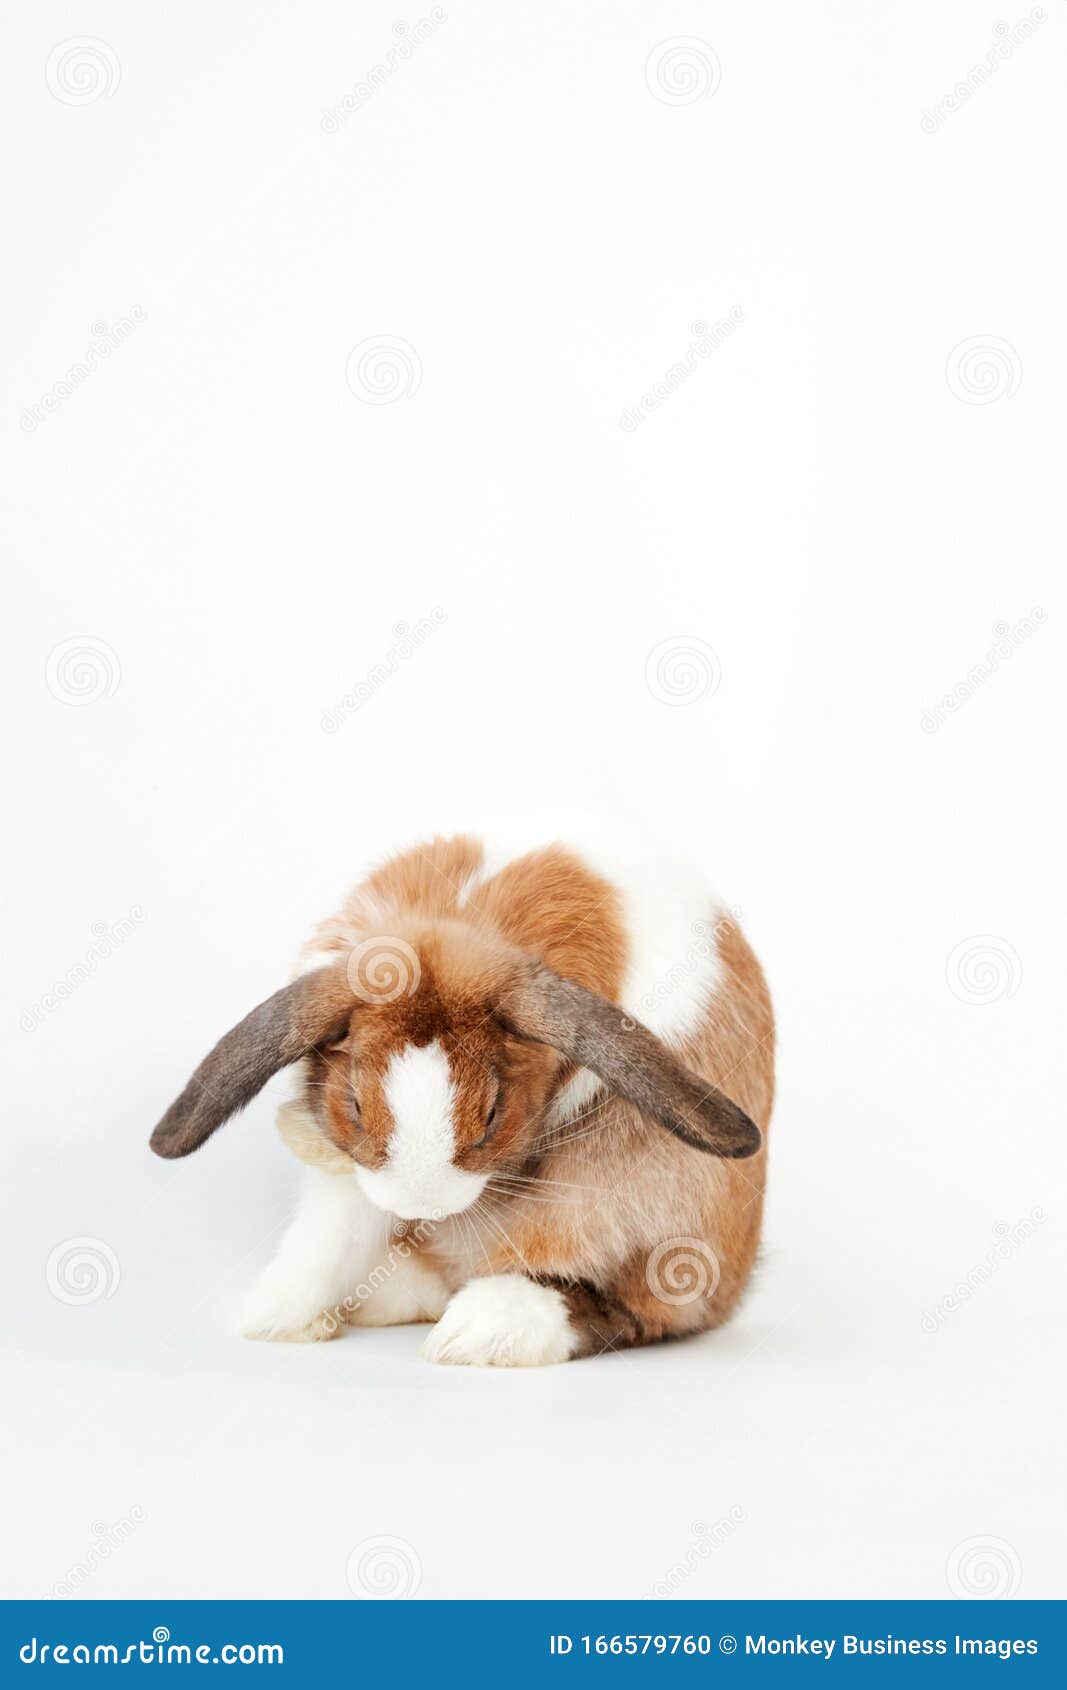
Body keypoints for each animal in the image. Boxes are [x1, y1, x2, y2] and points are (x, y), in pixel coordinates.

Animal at [151, 813, 775, 1366]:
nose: (420, 1202)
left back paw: (478, 1332)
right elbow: (331, 1234)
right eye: (355, 1104)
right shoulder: (345, 1172)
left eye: (494, 1111)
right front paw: (277, 1319)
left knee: (628, 1305)